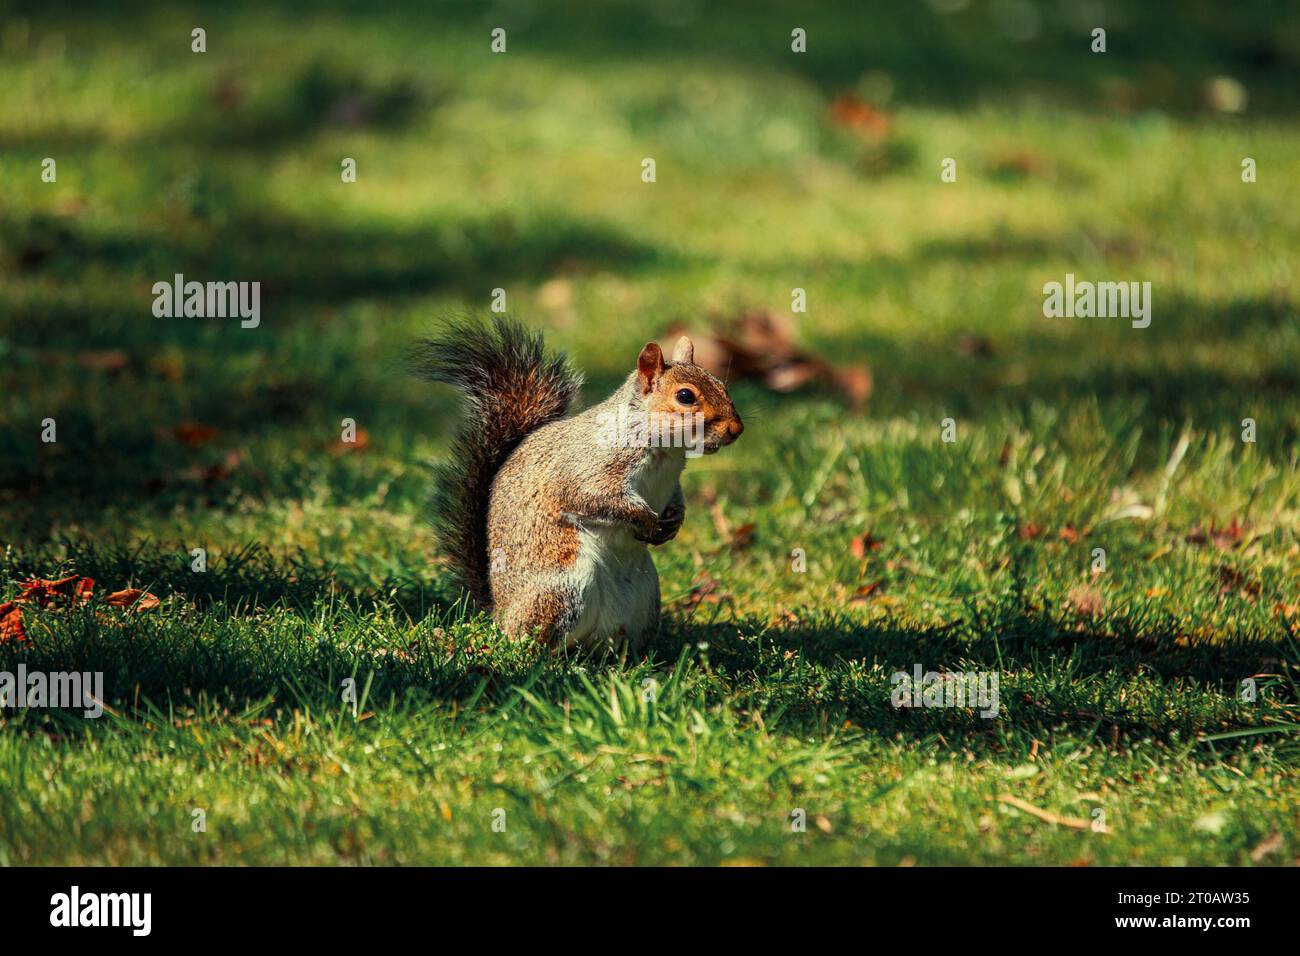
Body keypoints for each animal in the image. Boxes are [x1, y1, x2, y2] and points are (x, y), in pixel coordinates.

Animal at [411, 316, 744, 652]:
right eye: (685, 396)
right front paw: (646, 519)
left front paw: (674, 521)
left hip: (644, 599)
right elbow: (593, 497)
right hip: (562, 587)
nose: (736, 429)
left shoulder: (671, 482)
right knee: (530, 638)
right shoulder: (588, 468)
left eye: (721, 384)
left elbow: (676, 499)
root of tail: (499, 612)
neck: (666, 452)